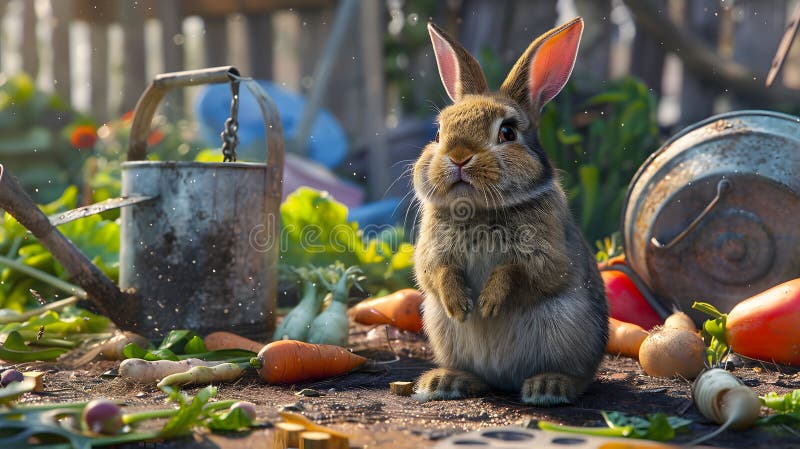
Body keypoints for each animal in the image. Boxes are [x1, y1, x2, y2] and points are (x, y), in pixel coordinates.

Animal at [411, 17, 608, 406]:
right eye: (439, 133)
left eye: (507, 132)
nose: (459, 156)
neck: (478, 210)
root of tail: (504, 380)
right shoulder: (432, 254)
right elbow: (435, 272)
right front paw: (461, 304)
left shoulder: (546, 255)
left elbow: (522, 272)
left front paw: (487, 303)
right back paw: (444, 381)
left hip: (569, 328)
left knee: (578, 378)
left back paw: (548, 387)